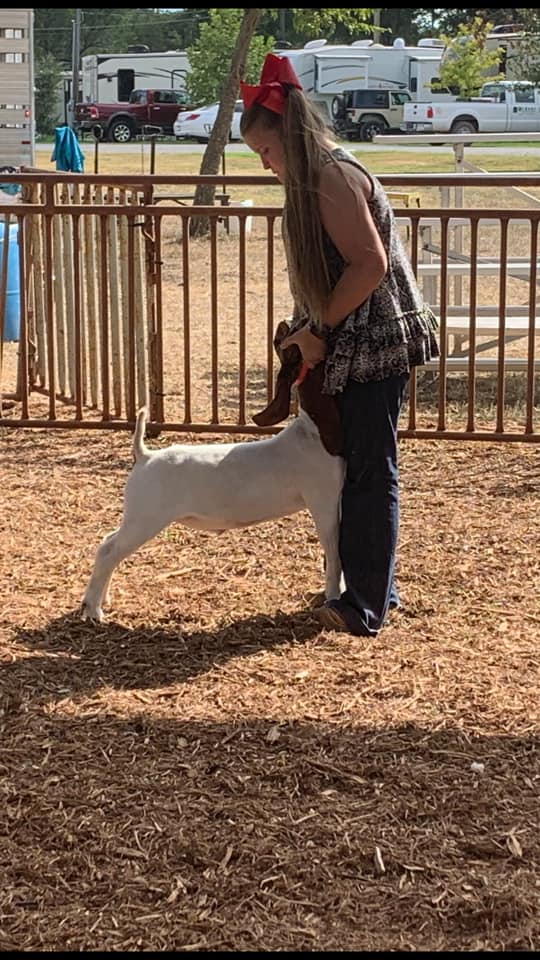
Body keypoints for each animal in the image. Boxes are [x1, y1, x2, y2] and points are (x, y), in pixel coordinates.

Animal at [81, 320, 345, 622]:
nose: (290, 323)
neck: (313, 433)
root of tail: (145, 456)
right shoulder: (323, 499)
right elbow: (333, 551)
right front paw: (334, 595)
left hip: (138, 517)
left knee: (107, 542)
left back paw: (103, 598)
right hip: (145, 517)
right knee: (109, 550)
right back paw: (94, 609)